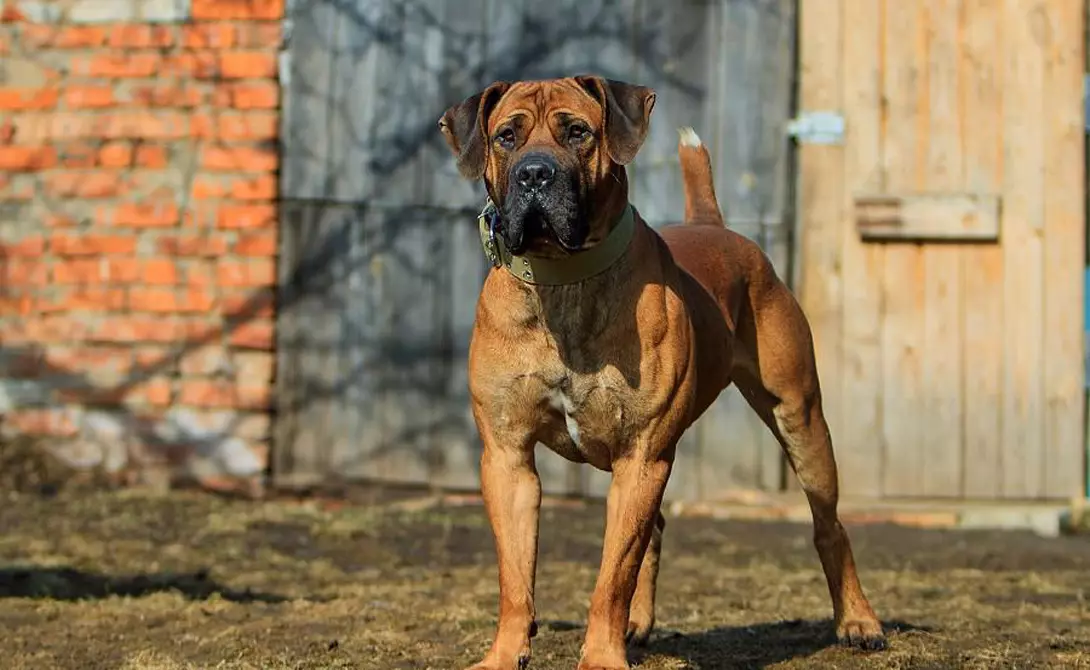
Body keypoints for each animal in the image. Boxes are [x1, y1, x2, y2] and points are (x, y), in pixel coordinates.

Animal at [436, 77, 885, 670]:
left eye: (577, 132)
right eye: (506, 136)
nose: (535, 173)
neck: (564, 279)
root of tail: (715, 226)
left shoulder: (643, 454)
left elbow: (611, 577)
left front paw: (602, 657)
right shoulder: (508, 458)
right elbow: (516, 578)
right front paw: (506, 653)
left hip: (801, 421)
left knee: (829, 526)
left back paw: (858, 621)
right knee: (654, 531)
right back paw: (638, 624)